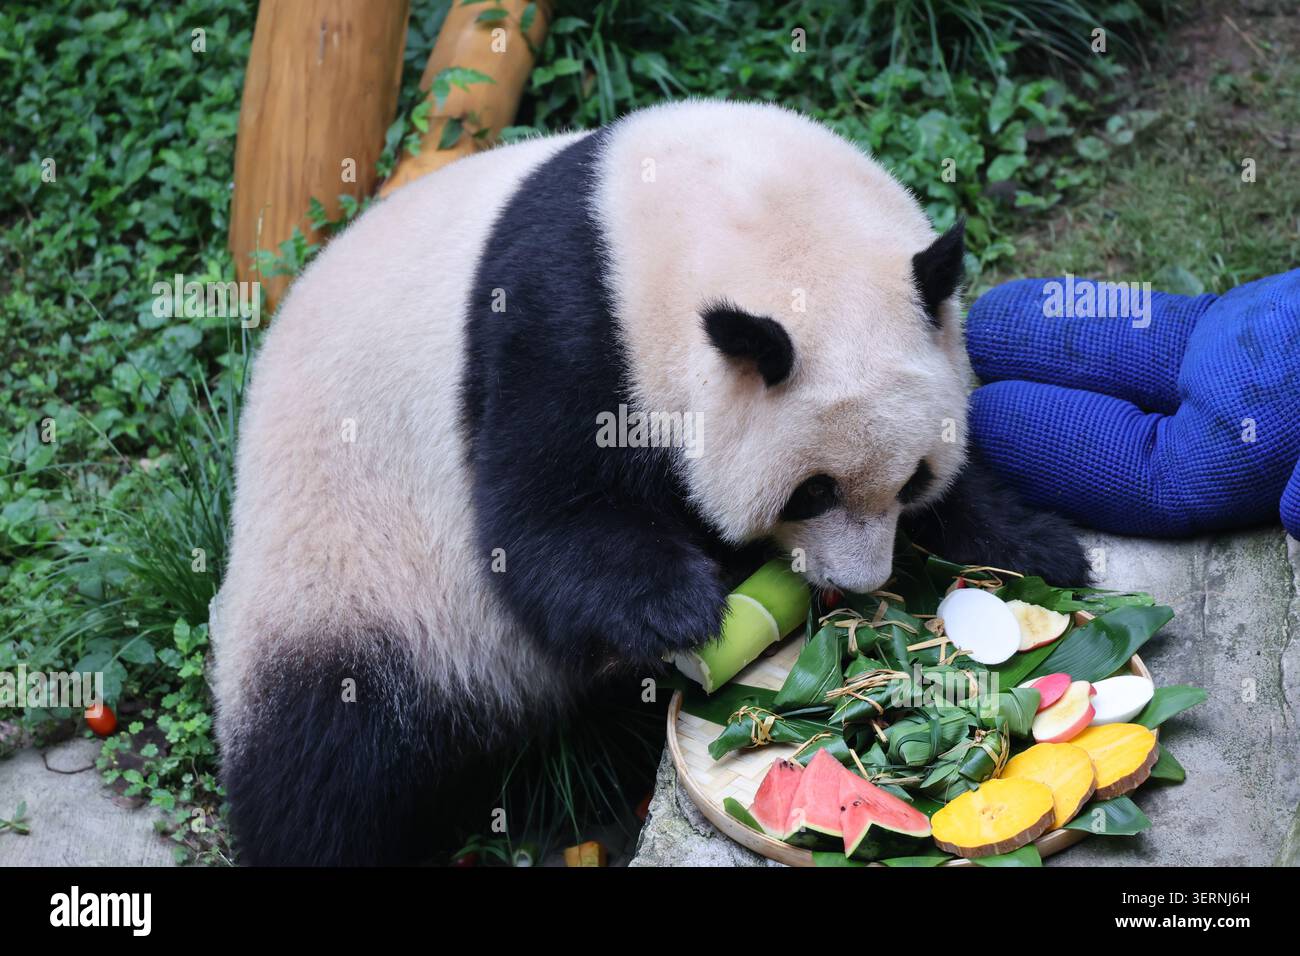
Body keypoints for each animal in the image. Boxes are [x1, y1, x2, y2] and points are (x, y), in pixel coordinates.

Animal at [211, 100, 1089, 866]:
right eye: (811, 492)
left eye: (911, 482)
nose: (859, 580)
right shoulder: (558, 323)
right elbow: (543, 524)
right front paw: (683, 607)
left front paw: (1036, 545)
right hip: (348, 569)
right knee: (328, 762)